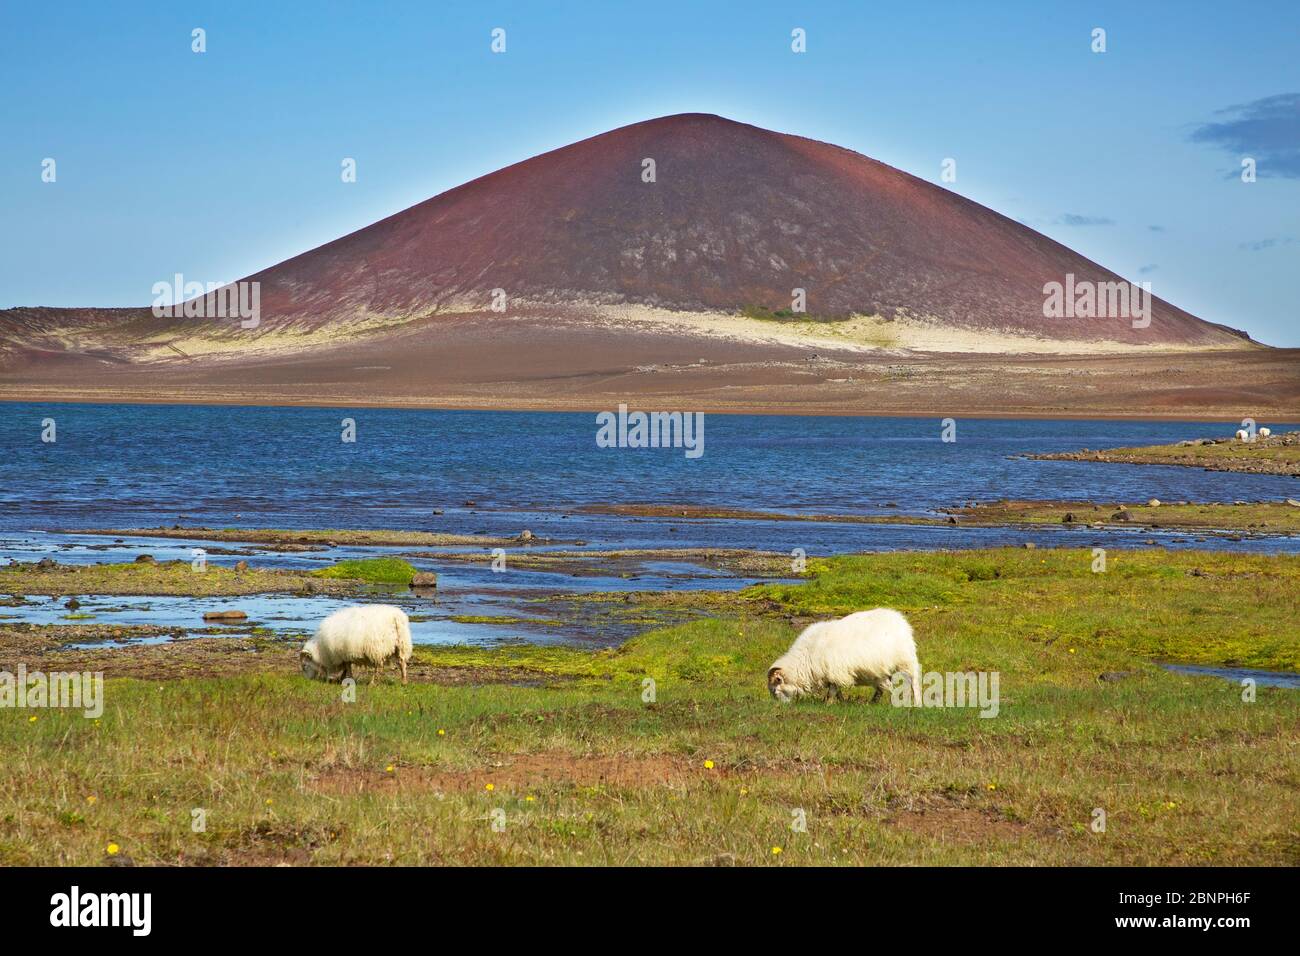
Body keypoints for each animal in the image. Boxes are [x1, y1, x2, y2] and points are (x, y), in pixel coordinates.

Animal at [767, 608, 921, 705]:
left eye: (775, 690)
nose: (780, 707)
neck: (805, 659)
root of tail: (900, 620)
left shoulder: (835, 671)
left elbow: (832, 692)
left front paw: (828, 704)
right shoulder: (832, 675)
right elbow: (837, 691)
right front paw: (841, 702)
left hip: (905, 660)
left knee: (914, 681)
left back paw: (917, 703)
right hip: (882, 669)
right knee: (884, 686)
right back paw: (874, 702)